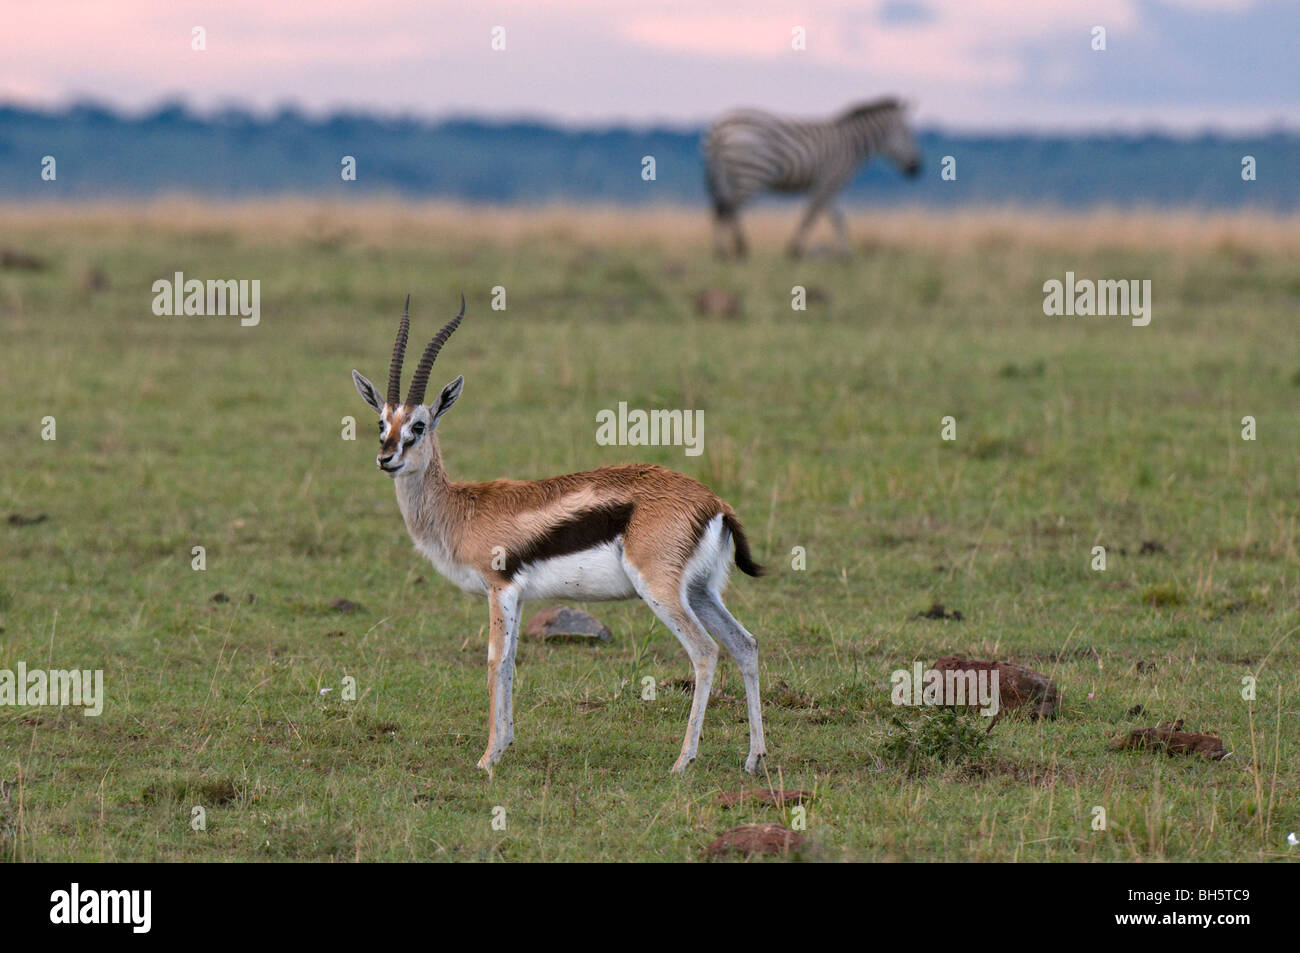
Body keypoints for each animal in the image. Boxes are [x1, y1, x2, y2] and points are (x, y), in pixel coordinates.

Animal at [351, 296, 768, 774]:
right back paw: (754, 758)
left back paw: (683, 761)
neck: (461, 509)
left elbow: (495, 661)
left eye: (418, 425)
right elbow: (511, 662)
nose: (386, 458)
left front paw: (487, 758)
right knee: (744, 644)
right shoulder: (516, 596)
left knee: (705, 651)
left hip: (661, 590)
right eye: (381, 423)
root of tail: (715, 502)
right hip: (700, 591)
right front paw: (505, 745)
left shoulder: (500, 587)